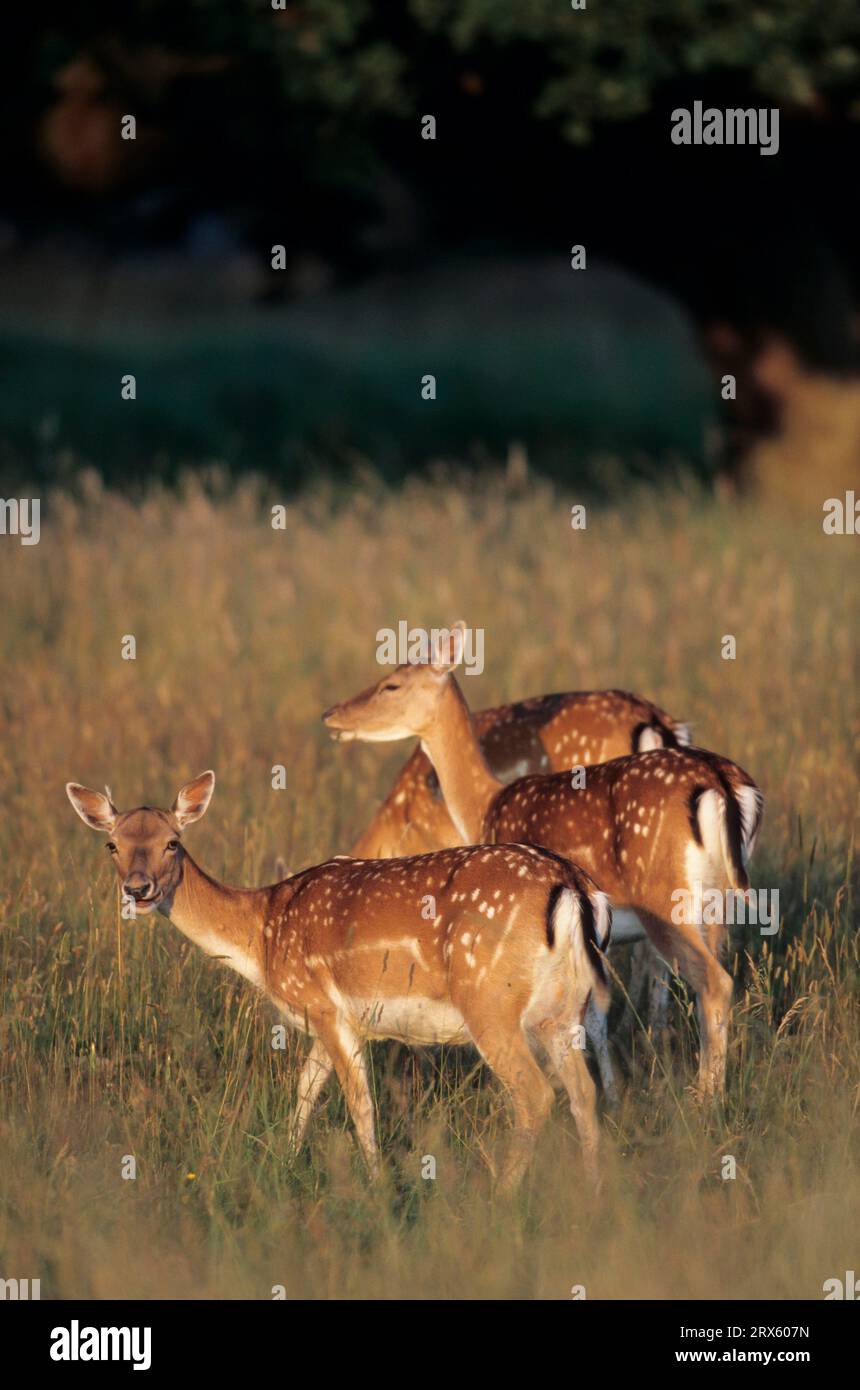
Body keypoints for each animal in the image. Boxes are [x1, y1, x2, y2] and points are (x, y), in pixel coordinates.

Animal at [66, 770, 611, 1191]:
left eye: (172, 842)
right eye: (112, 844)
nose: (138, 890)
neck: (262, 937)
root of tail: (573, 887)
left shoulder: (325, 1007)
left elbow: (360, 1105)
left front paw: (377, 1186)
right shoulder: (327, 1020)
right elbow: (304, 1093)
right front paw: (283, 1163)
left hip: (489, 1000)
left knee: (537, 1095)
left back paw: (500, 1195)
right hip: (564, 1009)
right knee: (585, 1094)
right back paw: (592, 1194)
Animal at [322, 624, 765, 1099]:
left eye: (392, 683)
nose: (333, 714)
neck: (485, 804)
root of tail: (722, 784)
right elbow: (593, 1015)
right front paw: (612, 1093)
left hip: (665, 898)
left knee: (712, 981)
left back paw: (704, 1096)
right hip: (719, 901)